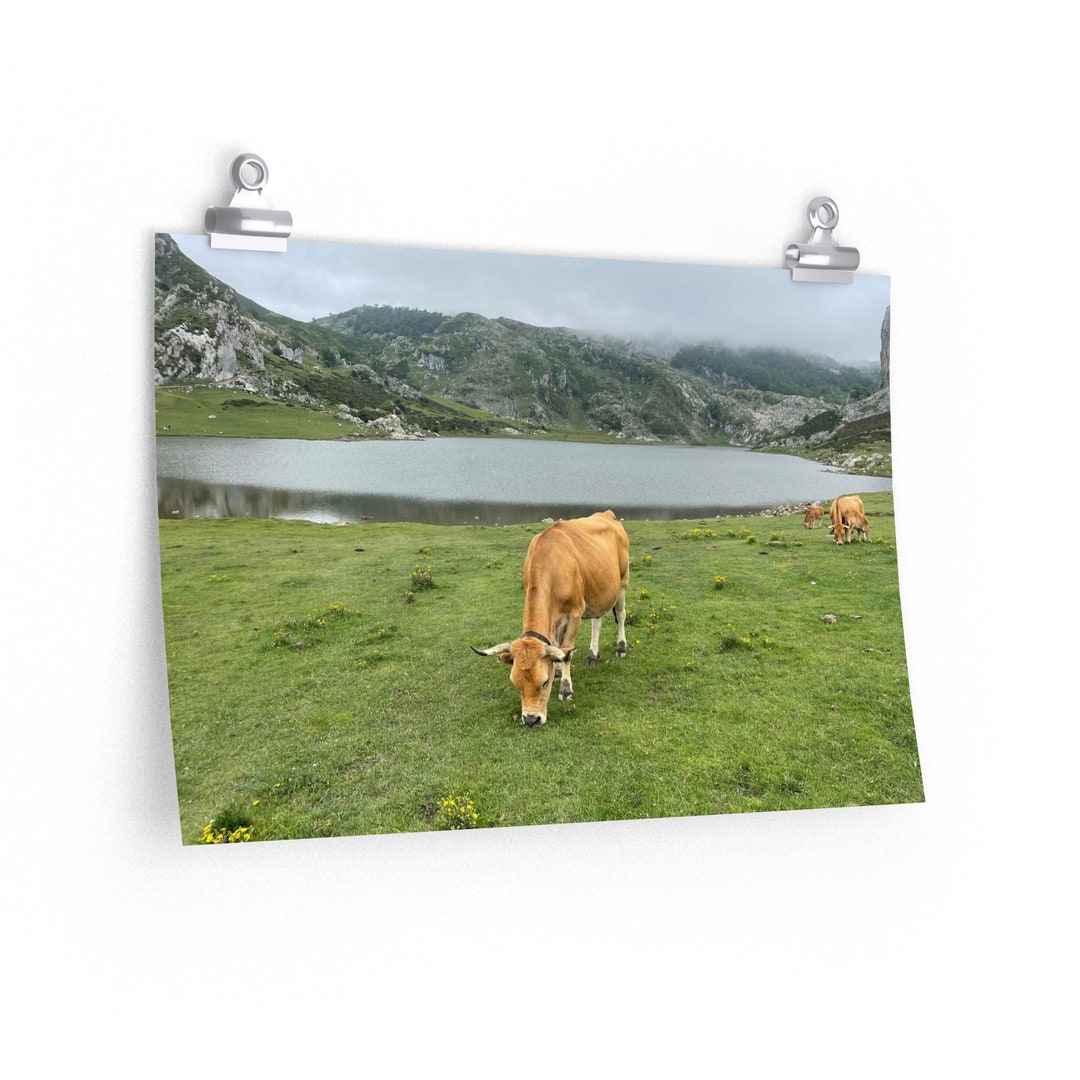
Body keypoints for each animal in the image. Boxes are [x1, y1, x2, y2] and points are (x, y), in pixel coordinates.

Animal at [472, 510, 630, 726]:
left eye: (544, 683)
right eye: (516, 684)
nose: (531, 719)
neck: (551, 563)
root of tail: (606, 514)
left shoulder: (575, 613)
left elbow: (567, 651)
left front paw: (565, 688)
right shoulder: (554, 619)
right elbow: (556, 646)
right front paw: (557, 669)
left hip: (623, 581)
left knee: (621, 615)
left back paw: (621, 647)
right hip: (598, 590)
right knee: (596, 622)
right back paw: (592, 655)